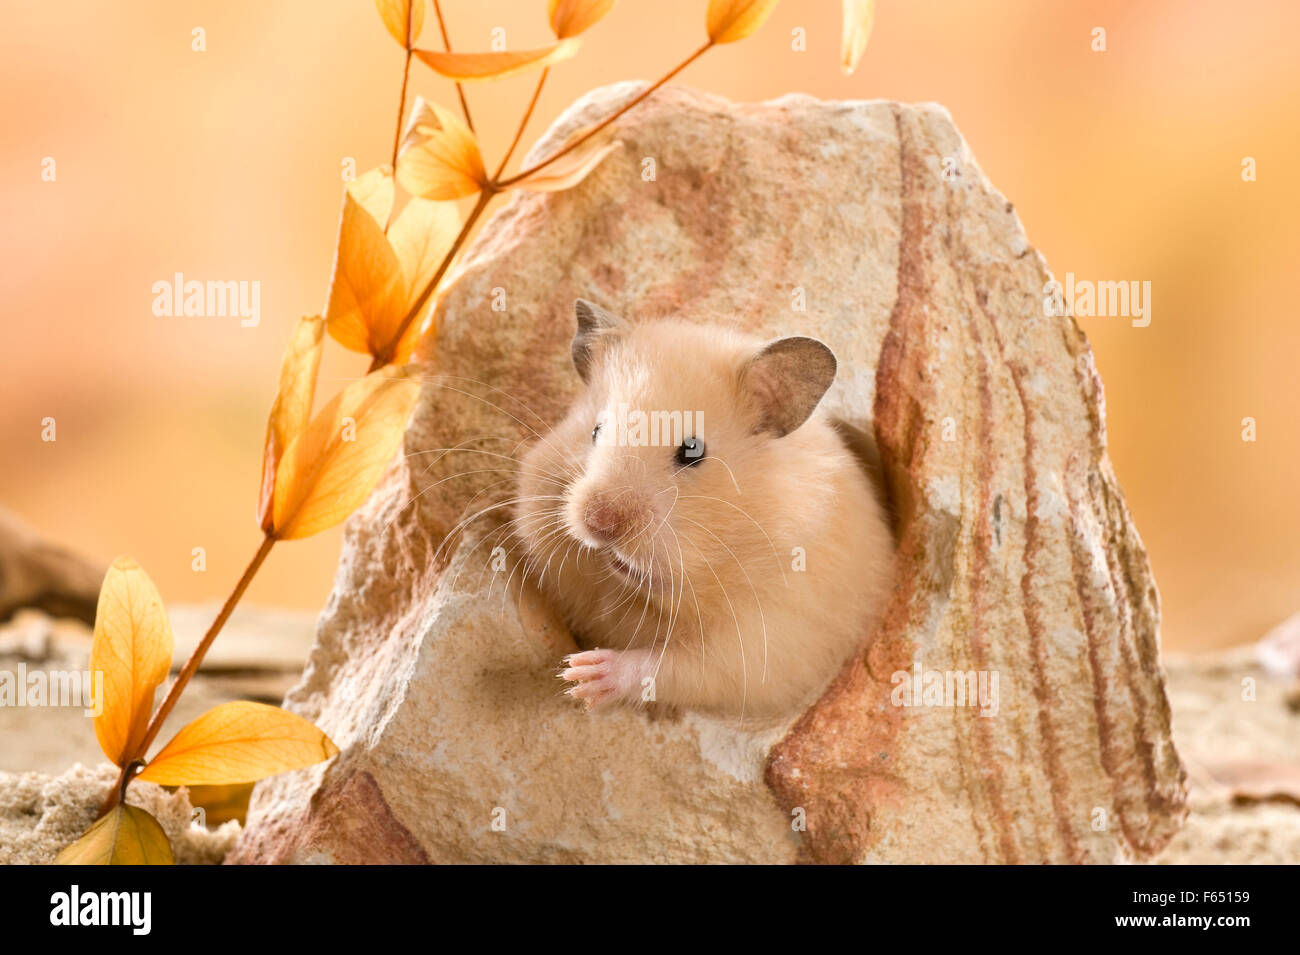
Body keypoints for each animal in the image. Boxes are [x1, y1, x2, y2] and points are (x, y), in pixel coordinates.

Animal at [515, 300, 894, 719]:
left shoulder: (760, 645)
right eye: (596, 431)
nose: (599, 524)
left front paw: (582, 676)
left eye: (692, 451)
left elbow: (674, 668)